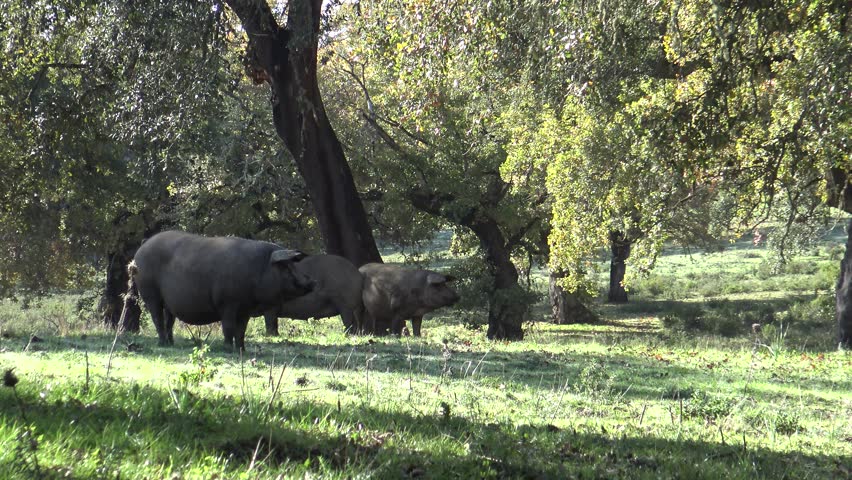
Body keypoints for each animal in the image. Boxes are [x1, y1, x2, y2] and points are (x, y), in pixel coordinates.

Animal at [131, 231, 313, 351]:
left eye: (292, 265)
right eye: (286, 267)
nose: (312, 281)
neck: (259, 269)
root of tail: (141, 248)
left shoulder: (245, 309)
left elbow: (241, 330)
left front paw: (241, 350)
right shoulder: (227, 303)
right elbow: (229, 327)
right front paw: (227, 348)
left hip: (168, 302)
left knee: (169, 320)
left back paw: (171, 344)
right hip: (150, 293)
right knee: (157, 318)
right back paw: (162, 343)